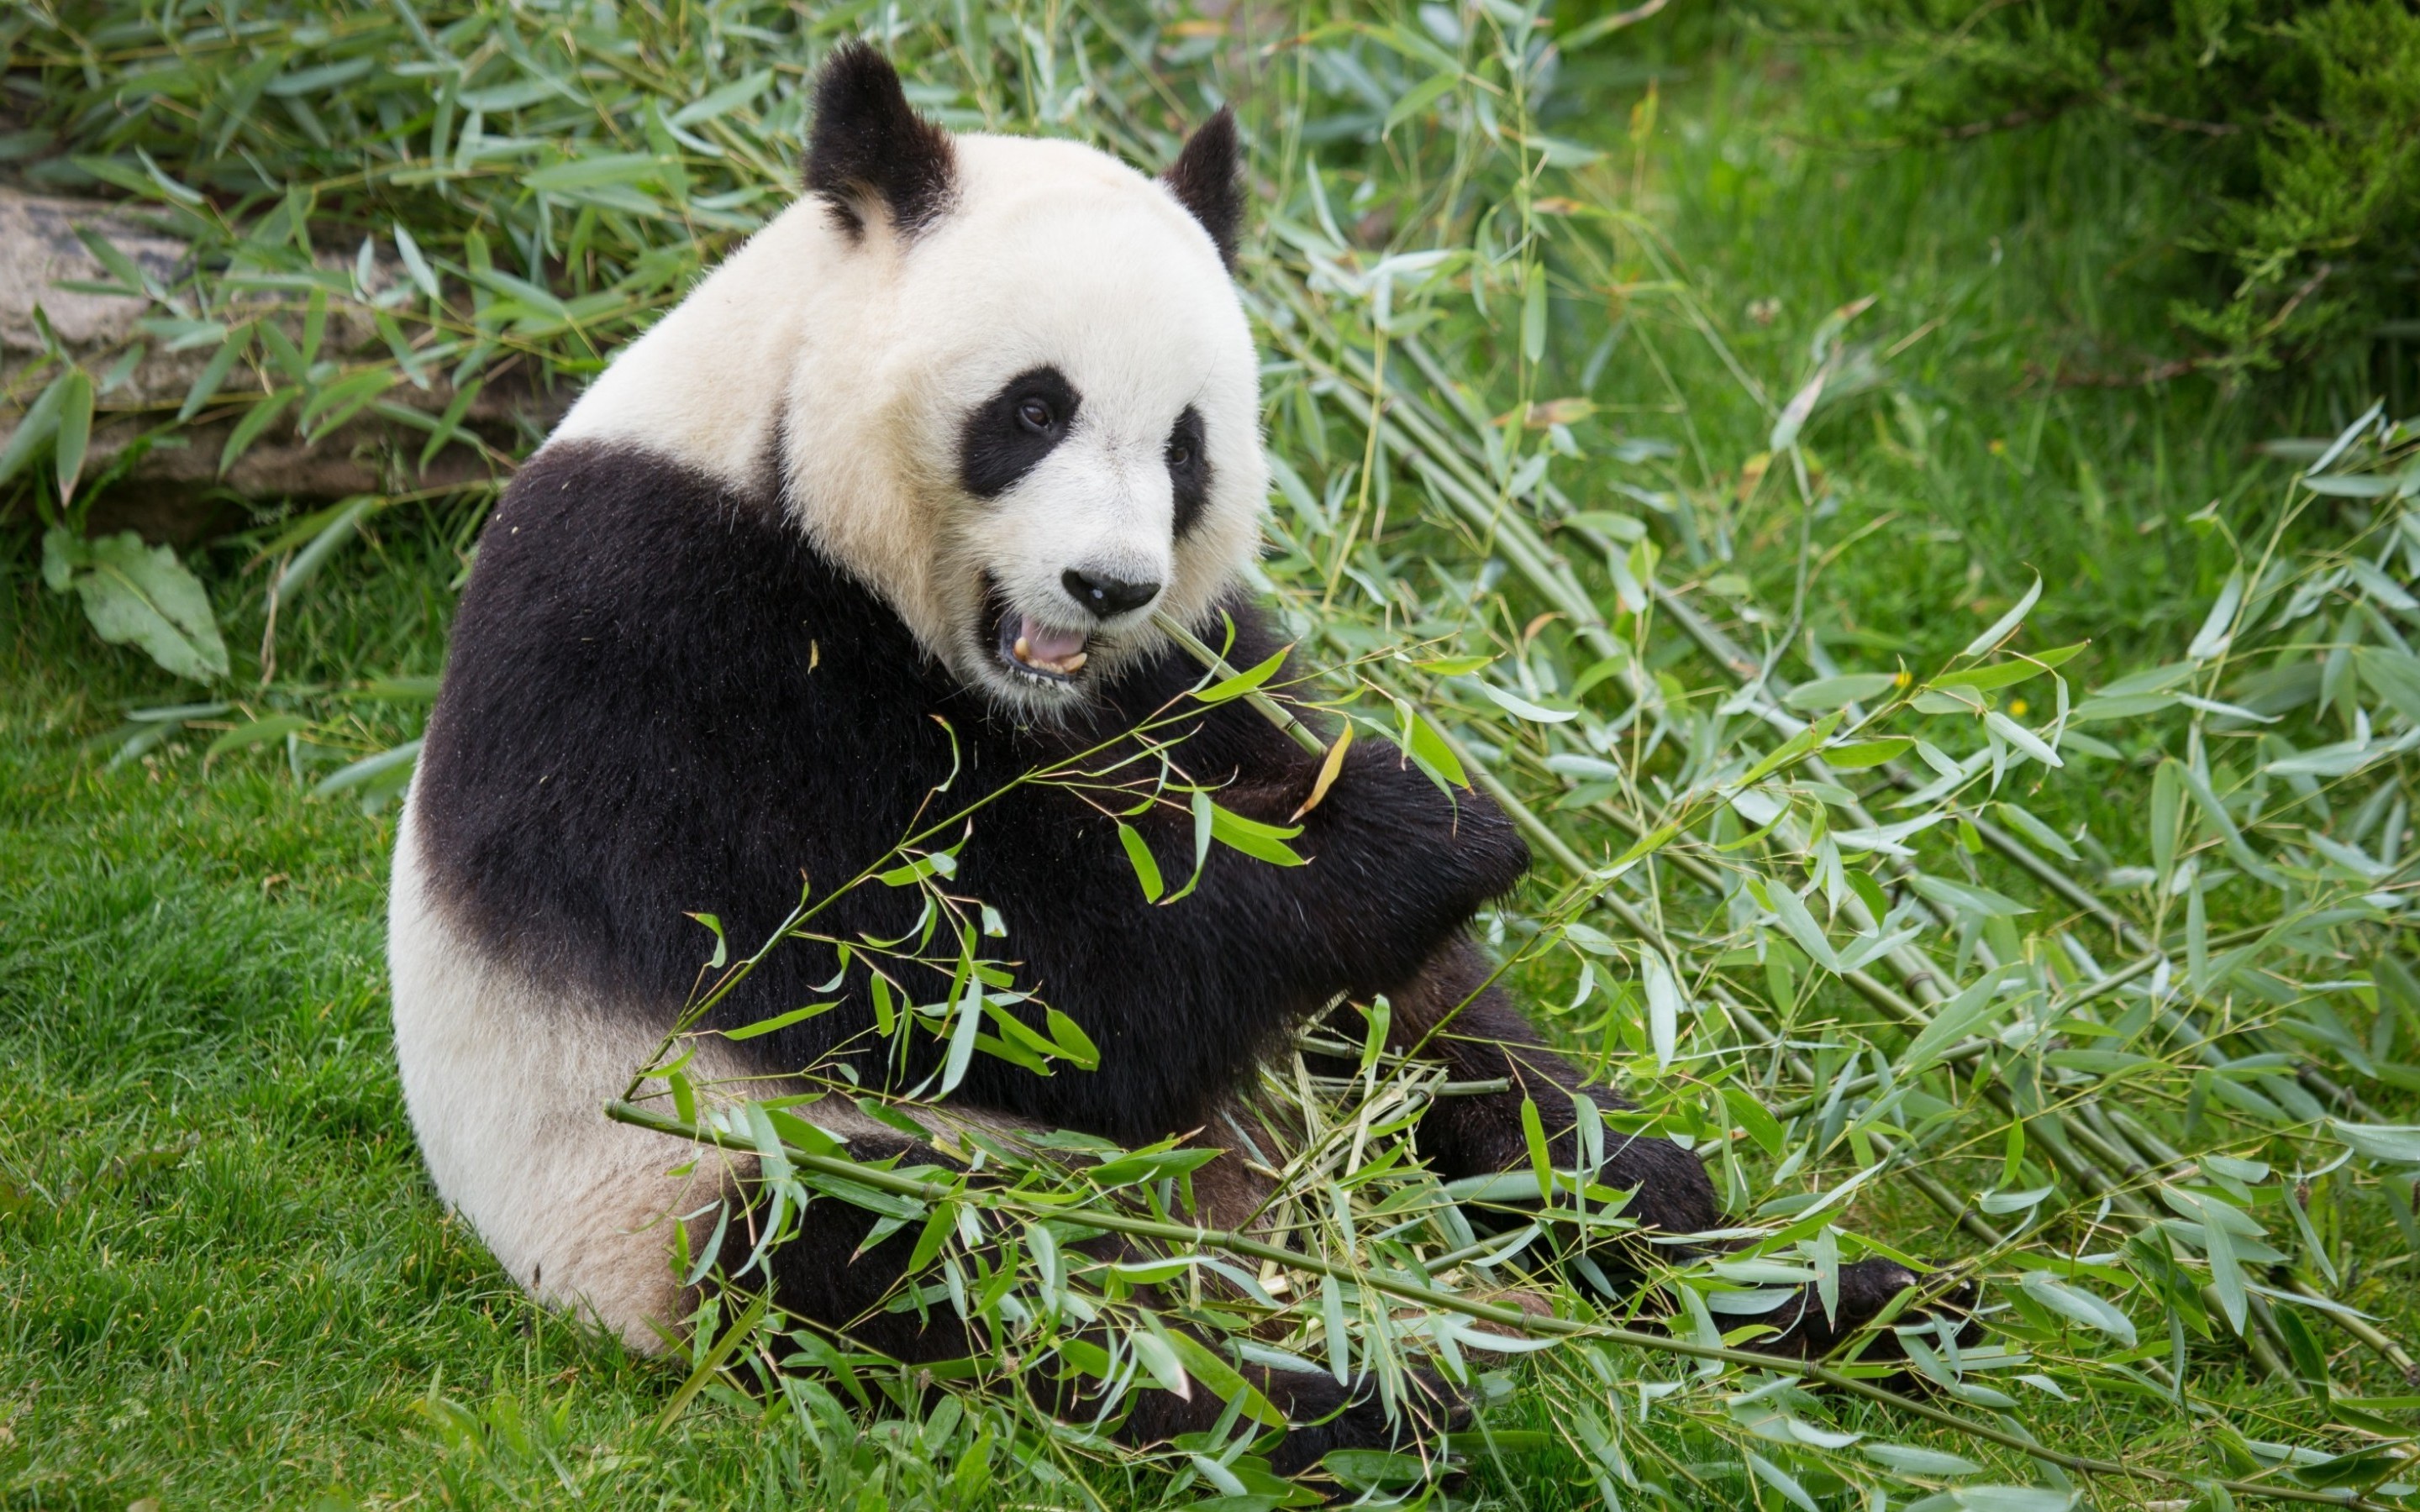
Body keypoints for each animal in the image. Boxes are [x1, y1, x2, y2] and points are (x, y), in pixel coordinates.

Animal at [388, 42, 1937, 1467]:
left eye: (1189, 446)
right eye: (1032, 410)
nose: (1109, 585)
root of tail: (1247, 1242)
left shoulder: (1189, 672)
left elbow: (1394, 982)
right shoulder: (666, 652)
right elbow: (992, 982)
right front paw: (1430, 826)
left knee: (1487, 1137)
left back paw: (1844, 1309)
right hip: (694, 1177)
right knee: (925, 1278)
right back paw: (1360, 1405)